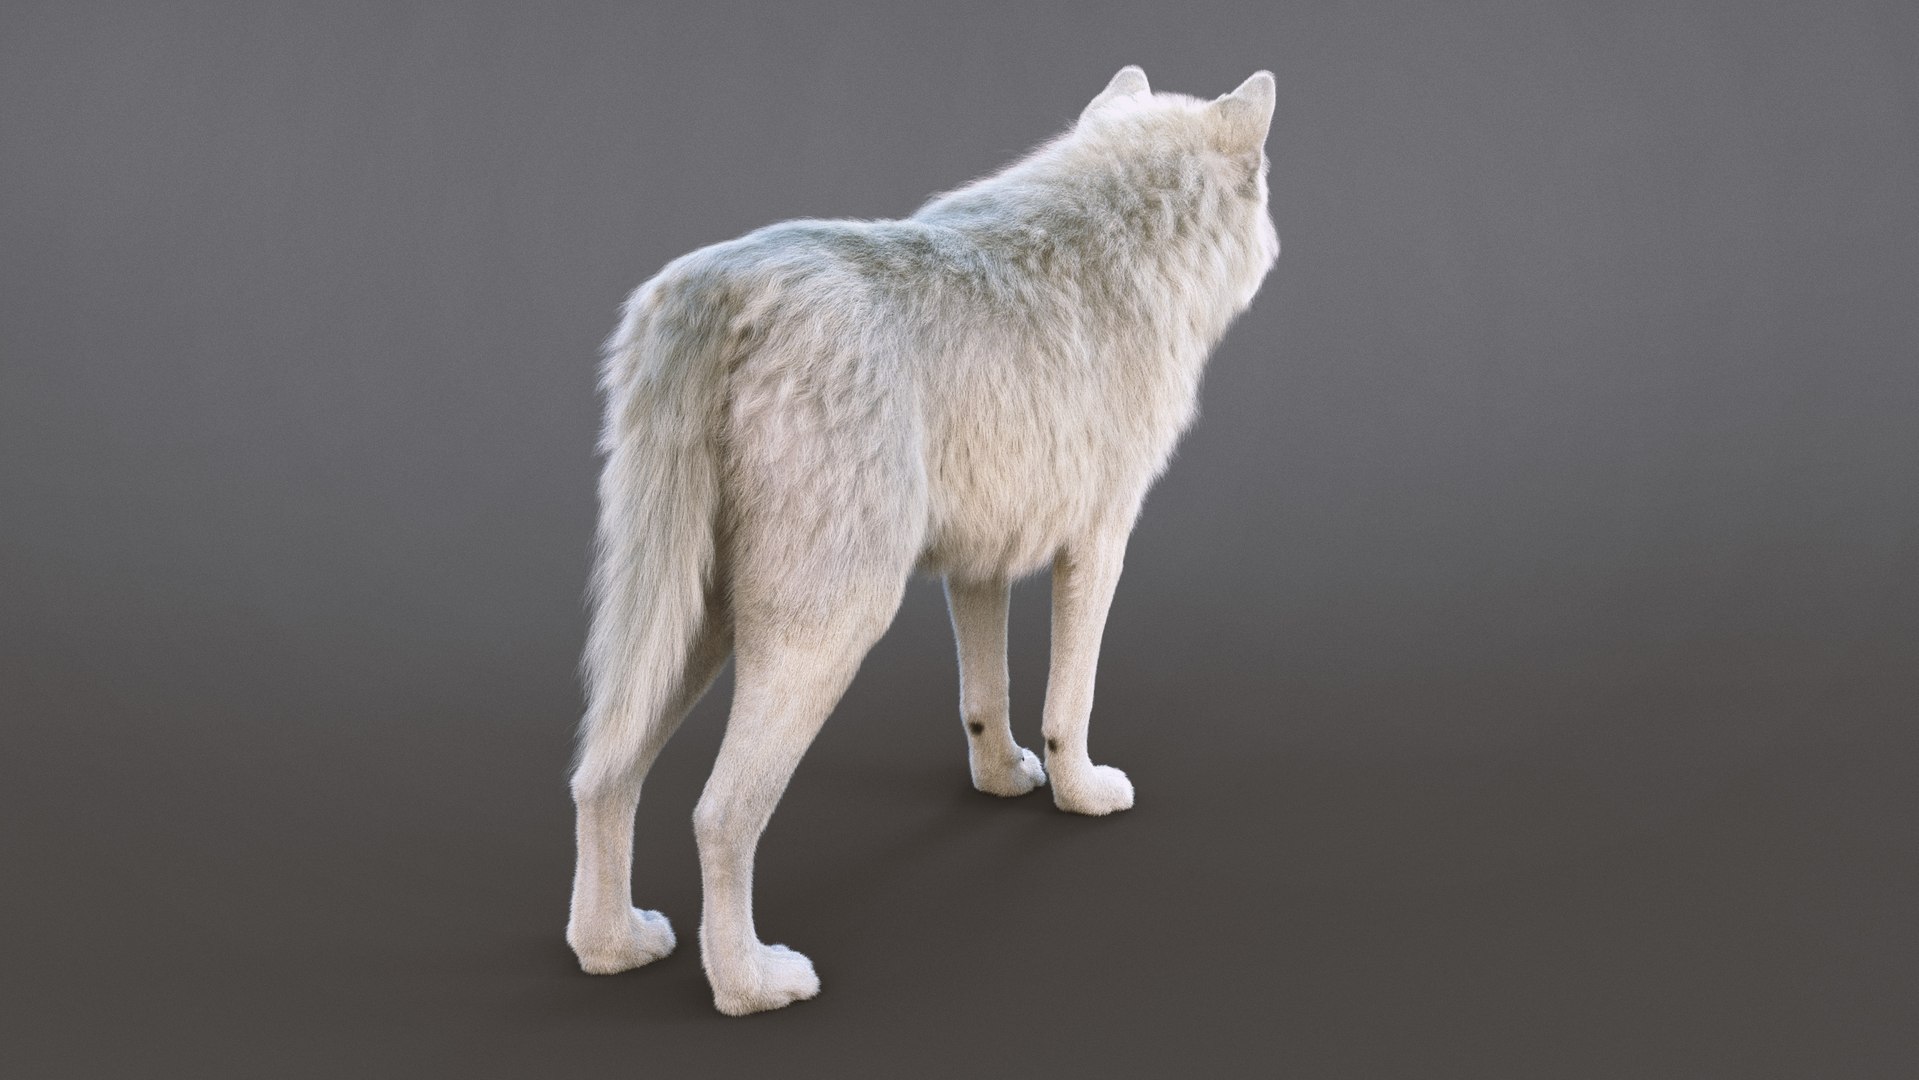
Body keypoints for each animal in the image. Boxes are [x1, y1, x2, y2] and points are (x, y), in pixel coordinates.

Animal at [565, 66, 1279, 1015]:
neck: (1119, 236)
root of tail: (718, 283)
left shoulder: (979, 561)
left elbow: (986, 694)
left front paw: (1003, 779)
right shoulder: (1100, 540)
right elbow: (1070, 700)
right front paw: (1081, 793)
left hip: (691, 625)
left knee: (601, 776)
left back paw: (611, 948)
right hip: (826, 626)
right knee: (720, 814)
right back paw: (752, 983)